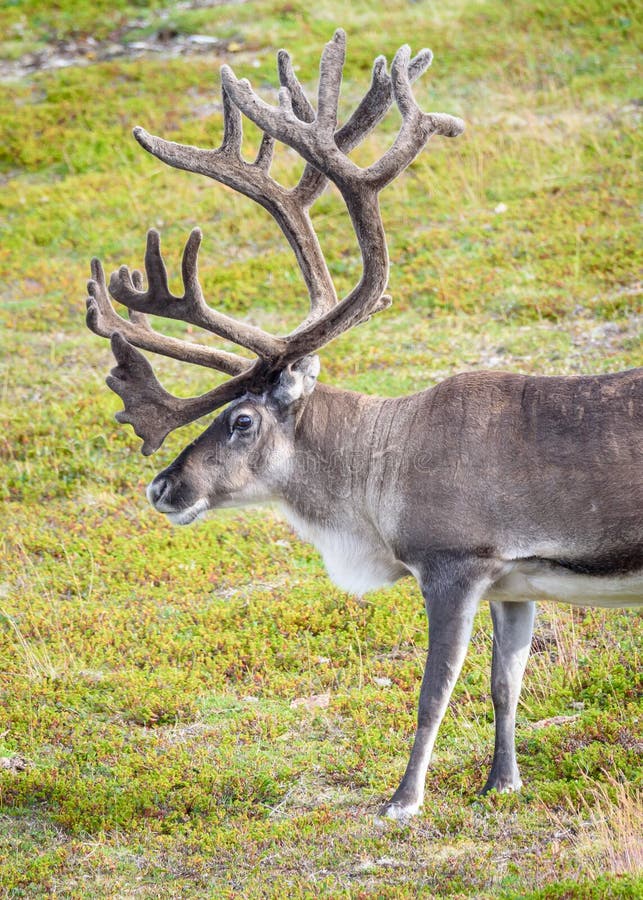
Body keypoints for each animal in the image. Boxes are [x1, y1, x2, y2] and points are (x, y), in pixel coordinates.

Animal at [85, 30, 643, 822]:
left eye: (242, 419)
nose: (162, 488)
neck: (377, 479)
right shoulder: (515, 581)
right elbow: (505, 684)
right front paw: (501, 782)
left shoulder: (453, 563)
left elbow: (433, 693)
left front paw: (402, 800)